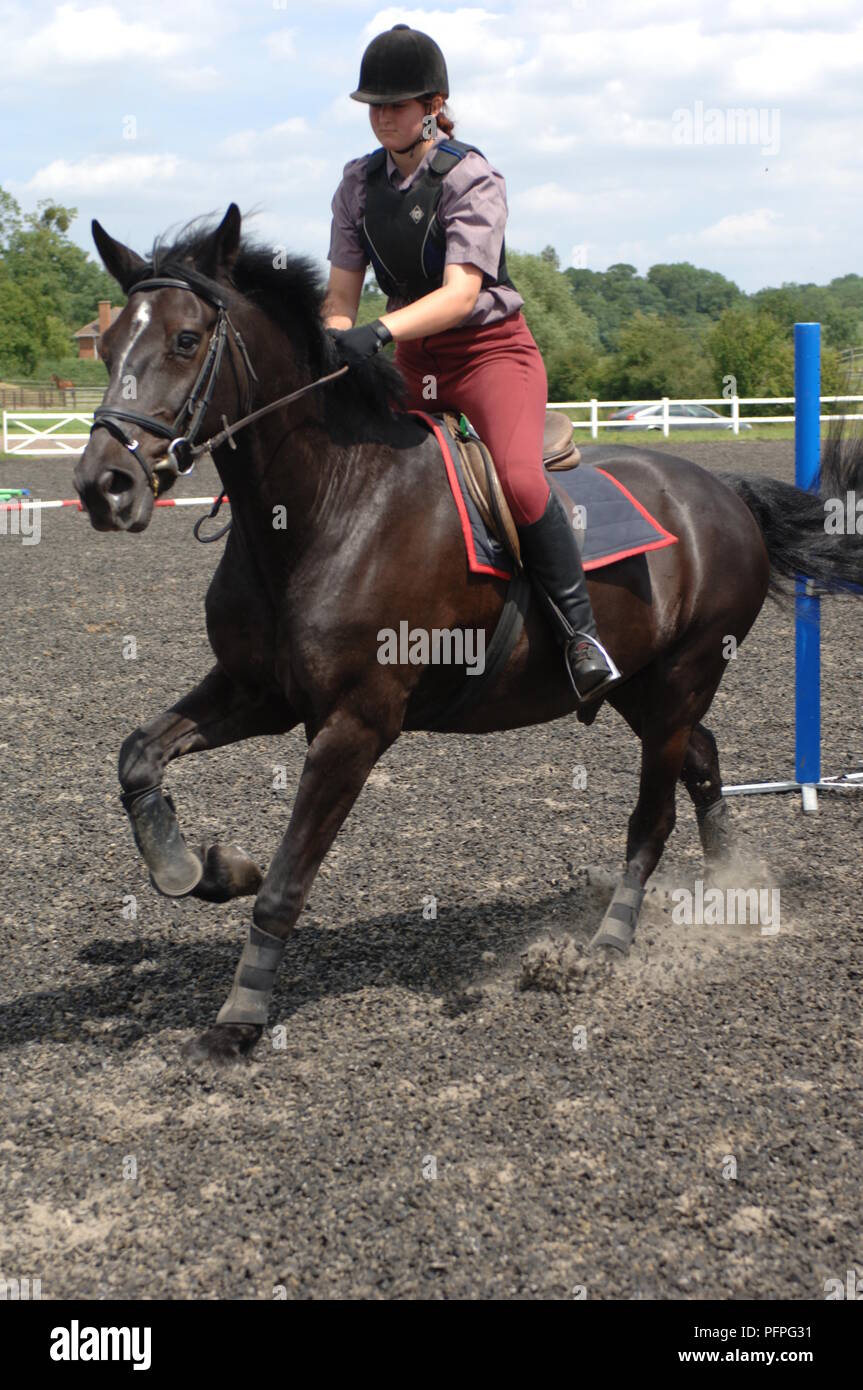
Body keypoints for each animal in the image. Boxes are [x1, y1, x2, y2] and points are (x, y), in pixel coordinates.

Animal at [73, 204, 863, 1063]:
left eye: (186, 339)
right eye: (107, 348)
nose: (101, 486)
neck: (326, 504)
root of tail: (721, 492)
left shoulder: (354, 723)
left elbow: (285, 882)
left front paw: (241, 1014)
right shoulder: (257, 692)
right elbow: (137, 755)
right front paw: (200, 868)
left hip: (683, 676)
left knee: (652, 815)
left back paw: (606, 945)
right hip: (641, 685)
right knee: (703, 760)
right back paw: (731, 890)